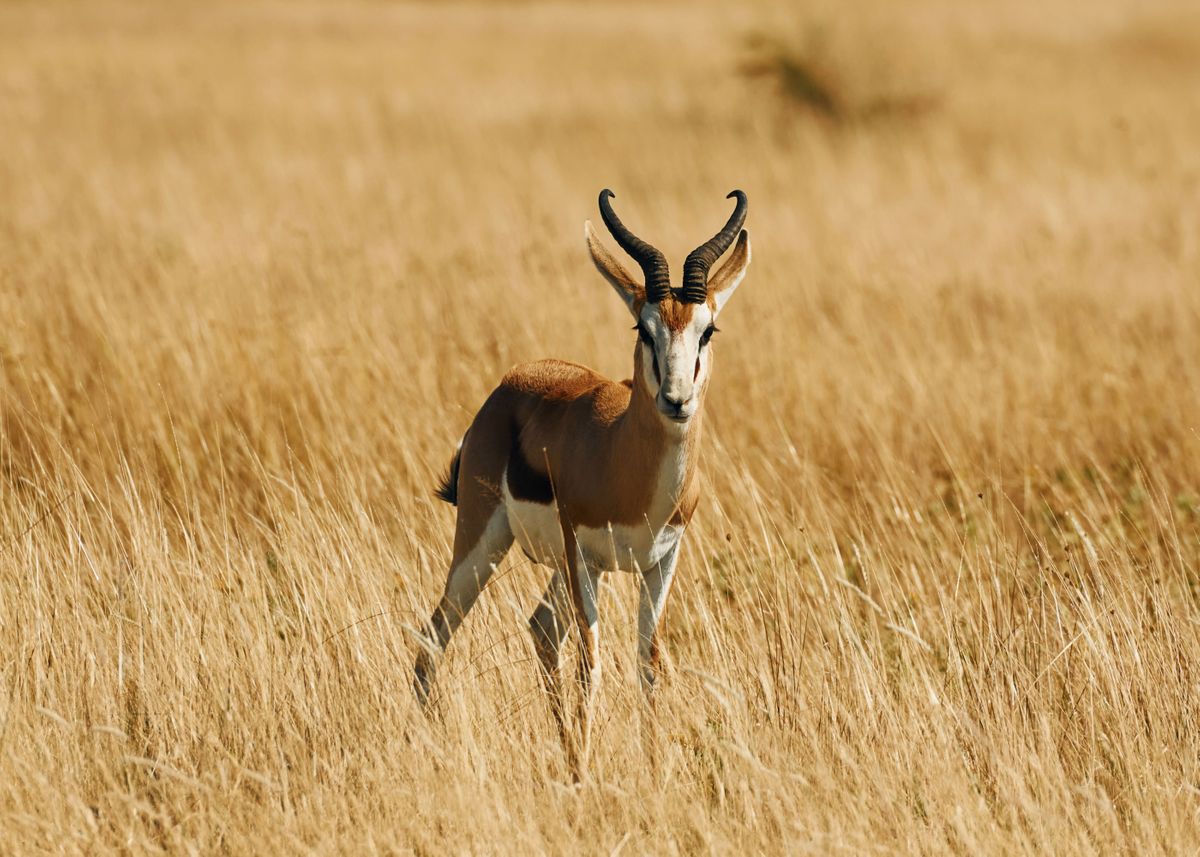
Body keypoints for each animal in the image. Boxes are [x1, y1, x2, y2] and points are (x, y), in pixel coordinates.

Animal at [413, 189, 750, 775]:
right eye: (644, 328)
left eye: (706, 330)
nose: (677, 400)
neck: (627, 468)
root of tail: (511, 384)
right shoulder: (584, 556)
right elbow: (590, 663)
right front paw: (588, 774)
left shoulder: (661, 560)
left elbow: (647, 661)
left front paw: (651, 768)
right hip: (485, 545)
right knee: (435, 636)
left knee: (542, 628)